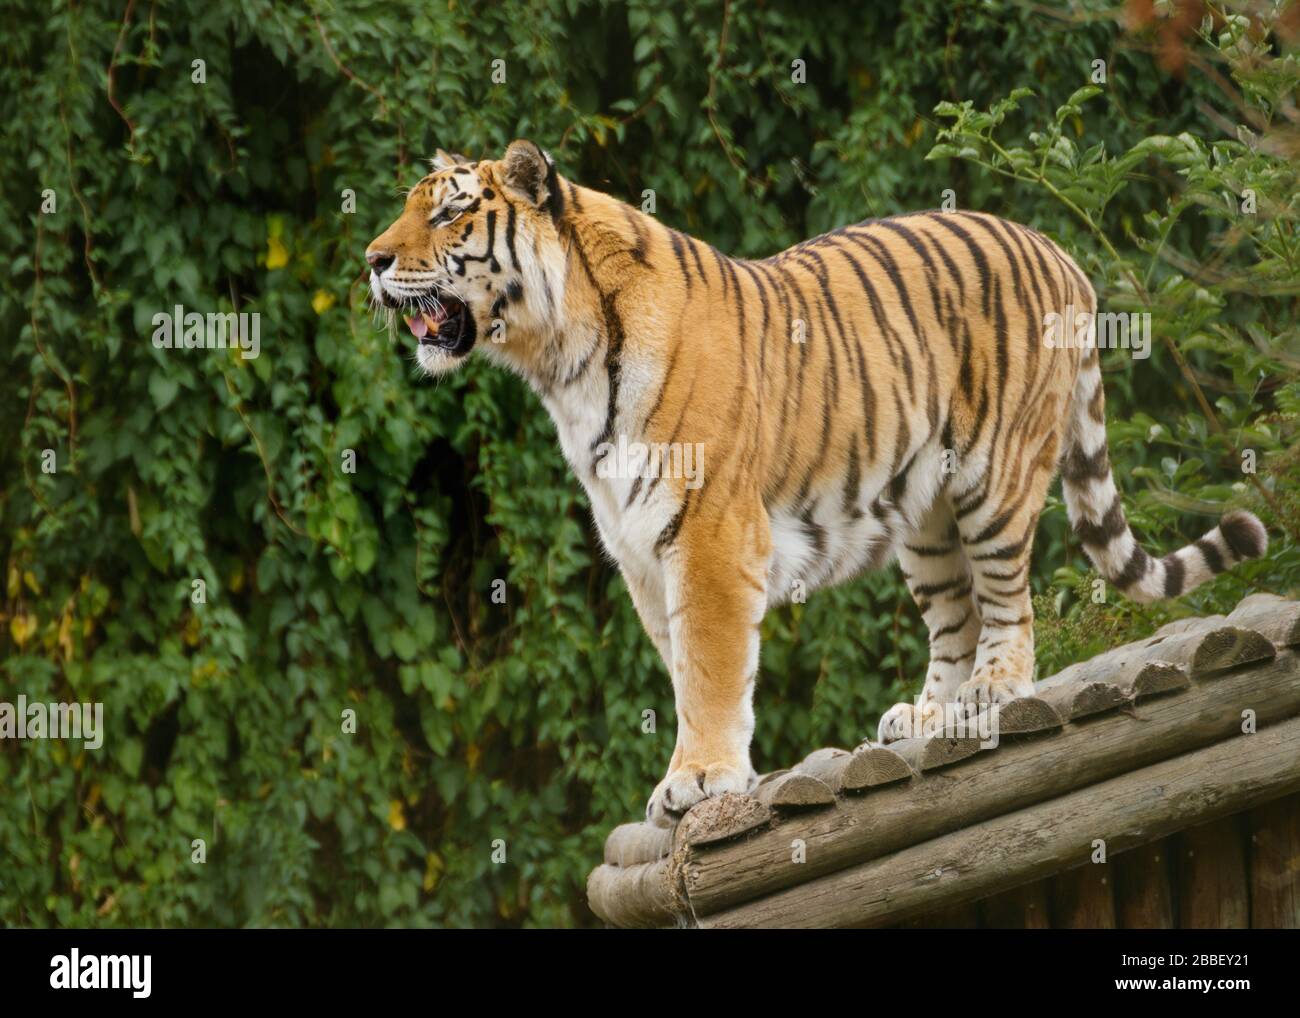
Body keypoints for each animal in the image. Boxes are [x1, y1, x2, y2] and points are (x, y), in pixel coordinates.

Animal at [365, 139, 1268, 827]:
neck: (561, 364)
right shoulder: (639, 549)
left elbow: (711, 669)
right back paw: (929, 714)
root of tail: (1062, 254)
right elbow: (681, 670)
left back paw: (993, 692)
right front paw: (690, 775)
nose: (371, 260)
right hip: (924, 517)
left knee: (1010, 604)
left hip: (994, 480)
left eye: (448, 214)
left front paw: (700, 779)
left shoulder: (709, 534)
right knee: (957, 616)